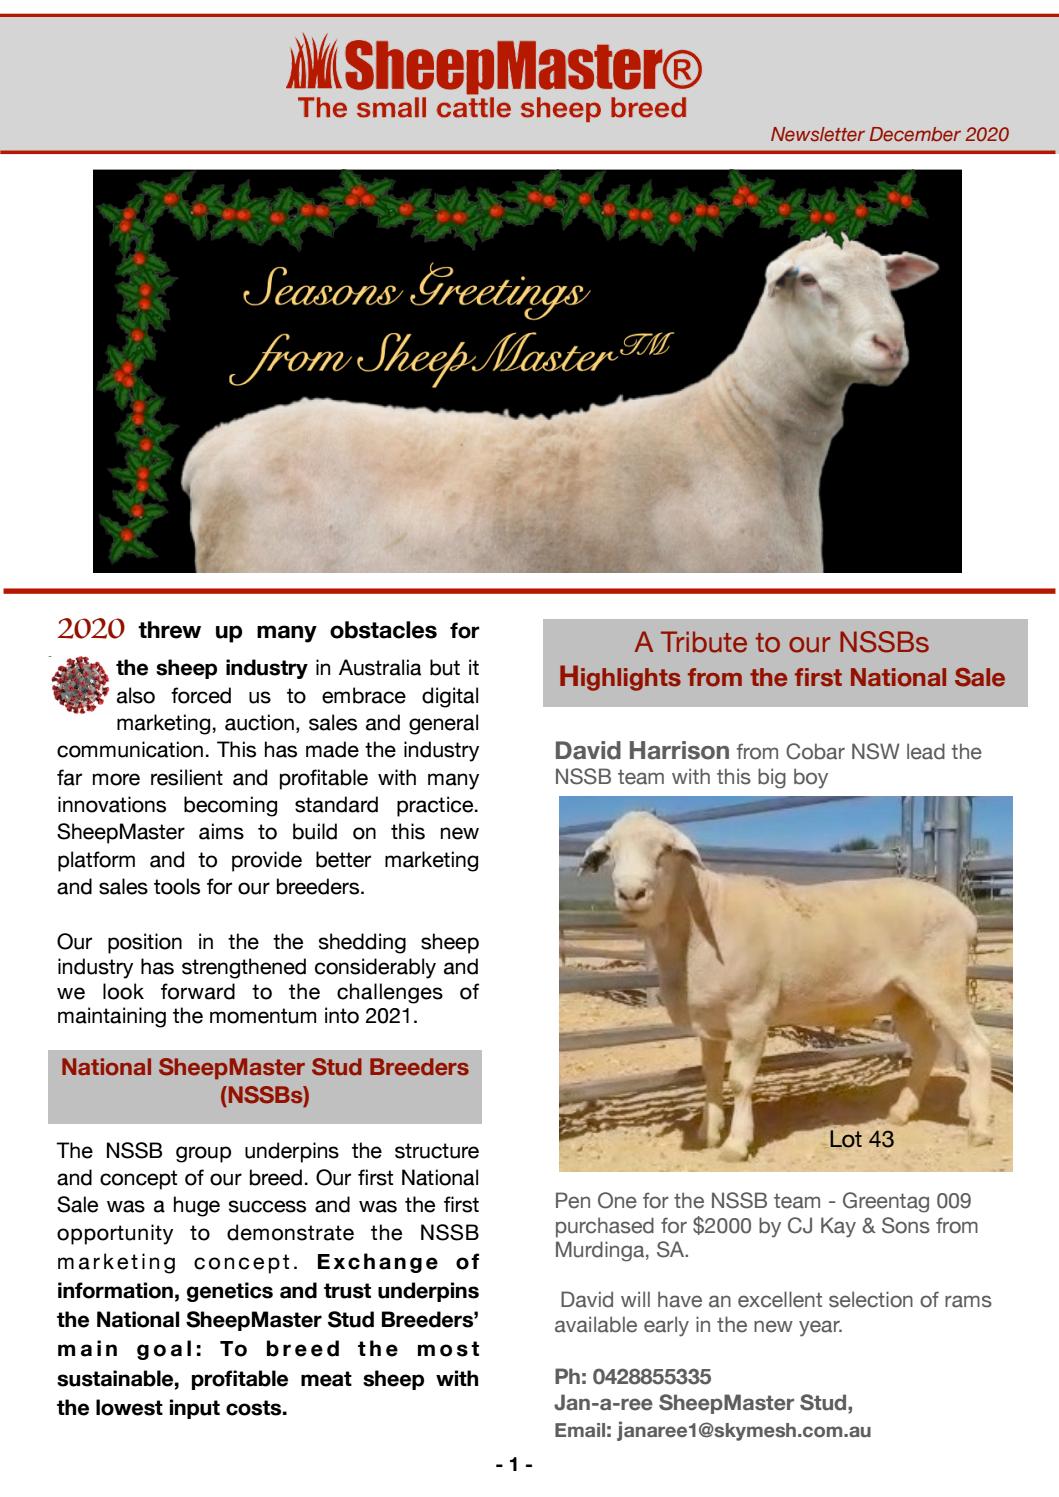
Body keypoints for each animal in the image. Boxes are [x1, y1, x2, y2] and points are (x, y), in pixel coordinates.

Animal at [578, 811, 991, 1161]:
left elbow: (740, 1081)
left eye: (665, 850)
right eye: (611, 851)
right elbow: (710, 1075)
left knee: (978, 1047)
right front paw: (708, 1132)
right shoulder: (710, 1022)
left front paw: (735, 1144)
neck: (704, 915)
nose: (631, 893)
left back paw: (979, 1128)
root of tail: (964, 912)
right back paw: (901, 1112)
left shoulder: (749, 1013)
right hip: (905, 996)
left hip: (941, 983)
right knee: (927, 1047)